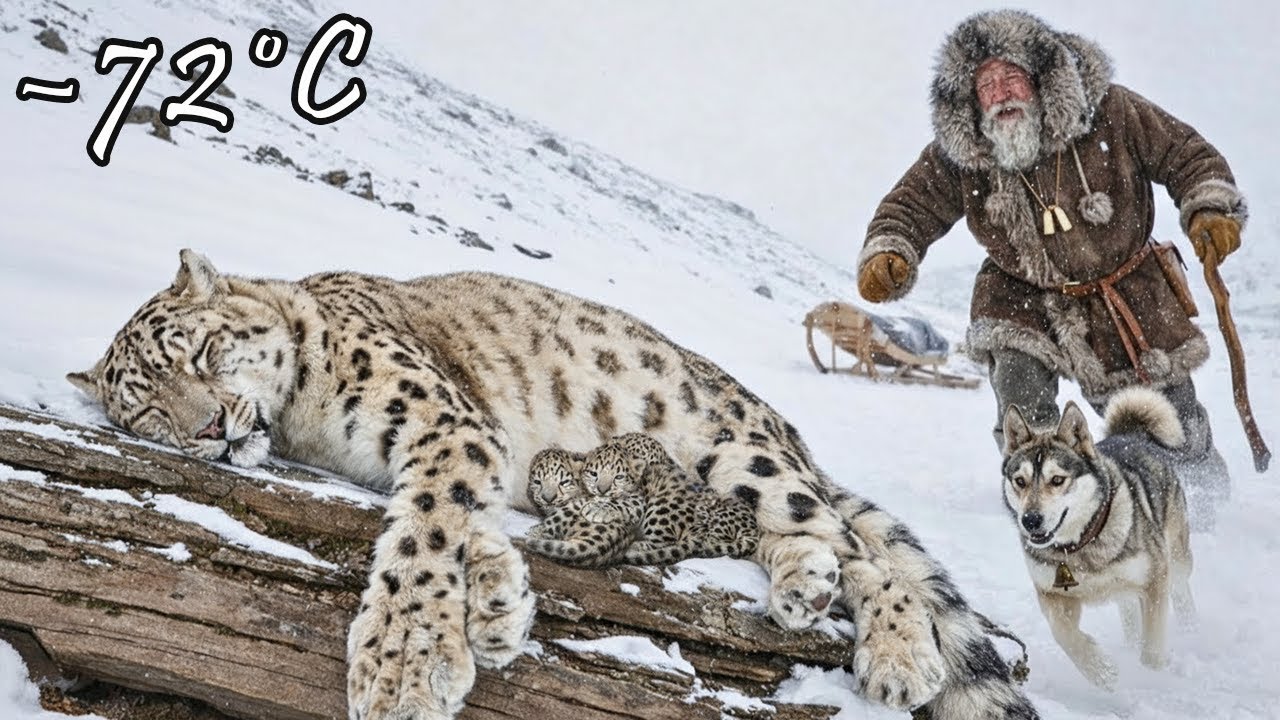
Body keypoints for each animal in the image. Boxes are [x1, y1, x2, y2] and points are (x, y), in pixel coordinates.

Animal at [67, 249, 1039, 720]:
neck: (304, 422)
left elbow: (425, 529)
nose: (207, 427)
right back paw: (802, 585)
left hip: (740, 456)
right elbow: (465, 525)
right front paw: (496, 609)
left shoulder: (443, 421)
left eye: (201, 351)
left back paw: (900, 655)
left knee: (864, 551)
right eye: (144, 408)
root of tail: (777, 421)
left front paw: (403, 667)